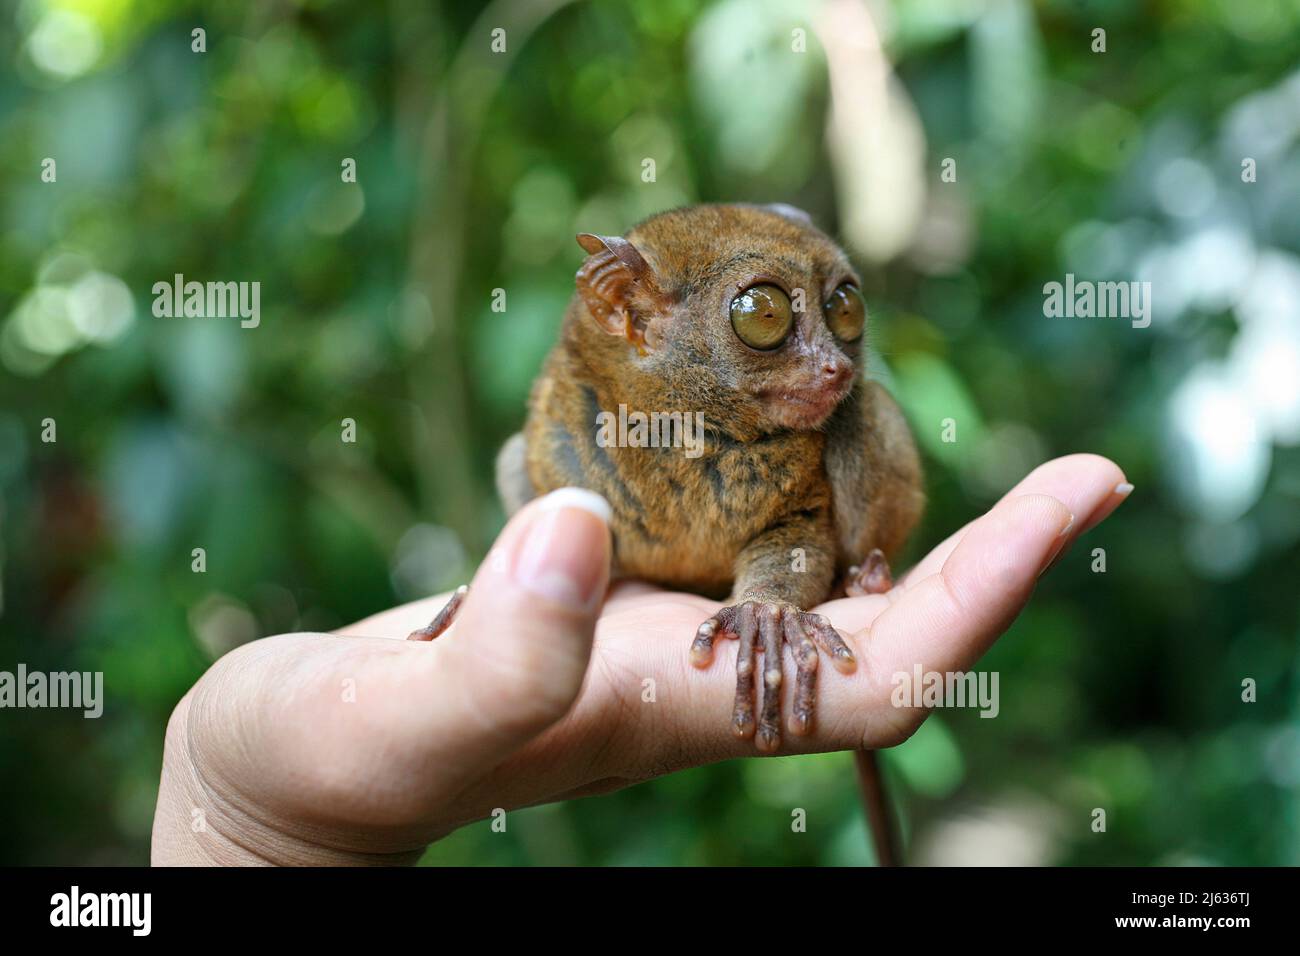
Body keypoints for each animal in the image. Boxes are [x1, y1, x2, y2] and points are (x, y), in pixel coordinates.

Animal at [410, 203, 924, 858]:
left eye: (845, 307)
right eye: (766, 314)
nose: (837, 365)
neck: (689, 422)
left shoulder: (799, 493)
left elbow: (799, 533)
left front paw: (764, 617)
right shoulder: (562, 446)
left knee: (862, 408)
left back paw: (866, 579)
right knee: (510, 457)